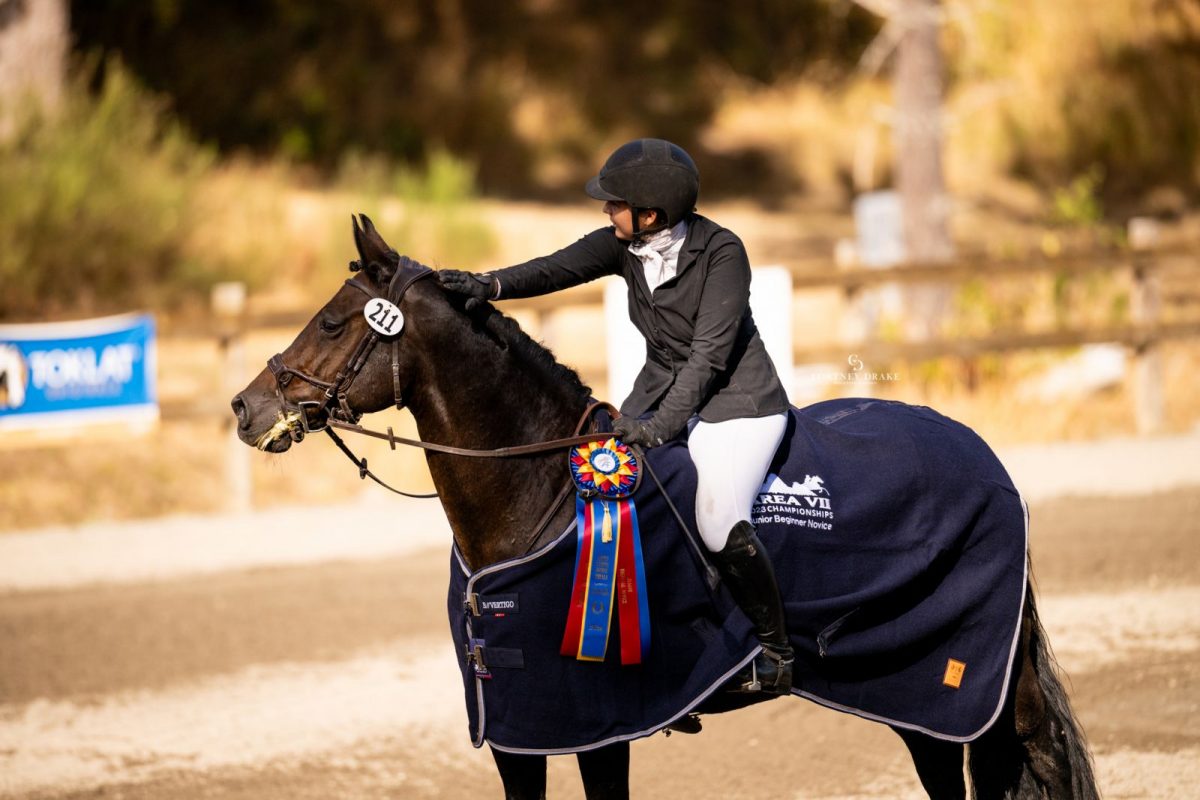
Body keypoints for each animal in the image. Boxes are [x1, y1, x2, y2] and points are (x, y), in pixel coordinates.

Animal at [230, 215, 1100, 800]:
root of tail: (981, 454)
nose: (244, 408)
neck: (543, 493)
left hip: (967, 687)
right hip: (908, 693)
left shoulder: (596, 720)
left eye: (332, 322)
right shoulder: (516, 728)